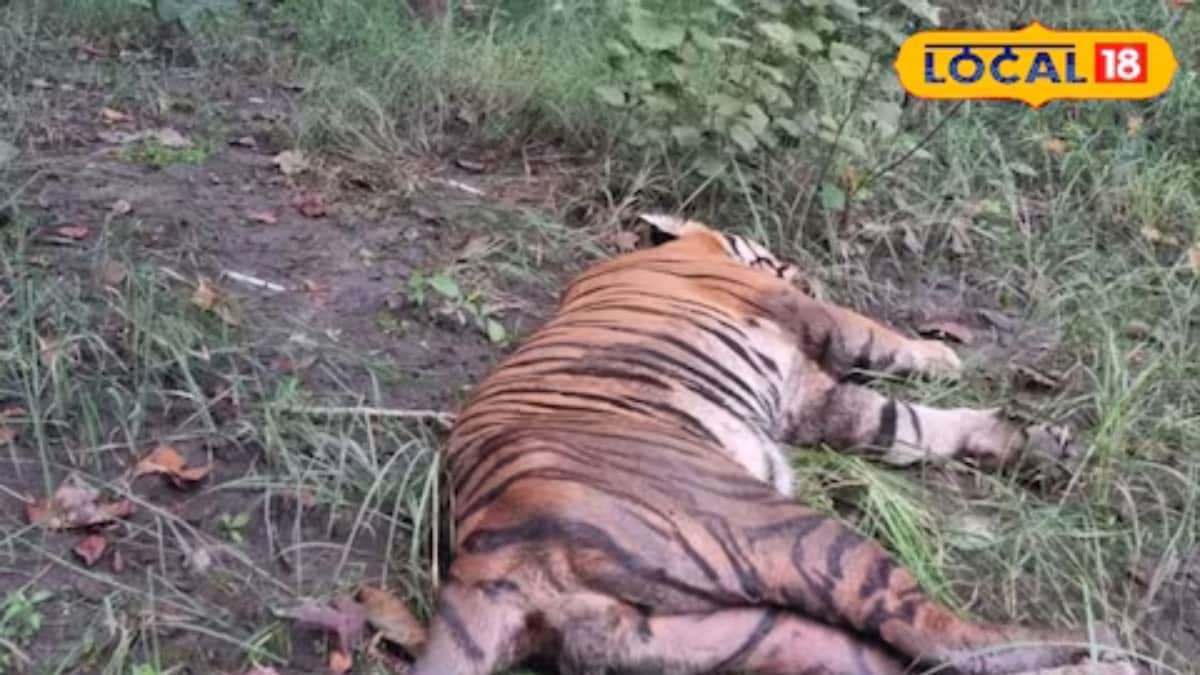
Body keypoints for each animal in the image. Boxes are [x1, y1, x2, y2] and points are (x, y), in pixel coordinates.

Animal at [403, 214, 1133, 675]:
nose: (807, 267)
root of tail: (488, 548)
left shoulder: (814, 398)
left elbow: (908, 423)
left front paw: (1039, 446)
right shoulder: (810, 319)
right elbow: (884, 345)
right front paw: (948, 356)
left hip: (725, 630)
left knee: (886, 656)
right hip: (799, 537)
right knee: (939, 633)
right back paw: (1099, 646)